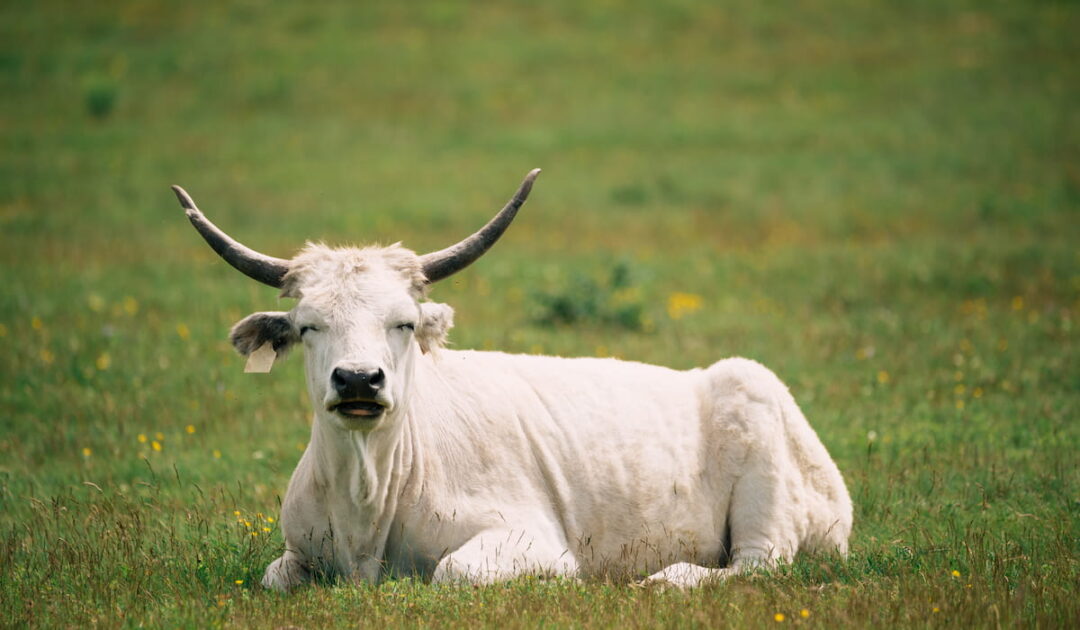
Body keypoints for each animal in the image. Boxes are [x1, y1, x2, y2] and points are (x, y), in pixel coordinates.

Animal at [172, 169, 852, 591]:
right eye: (309, 325)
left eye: (404, 322)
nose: (359, 381)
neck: (365, 503)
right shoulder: (295, 551)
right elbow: (273, 576)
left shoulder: (530, 541)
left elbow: (452, 572)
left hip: (766, 475)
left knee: (757, 566)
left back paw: (665, 579)